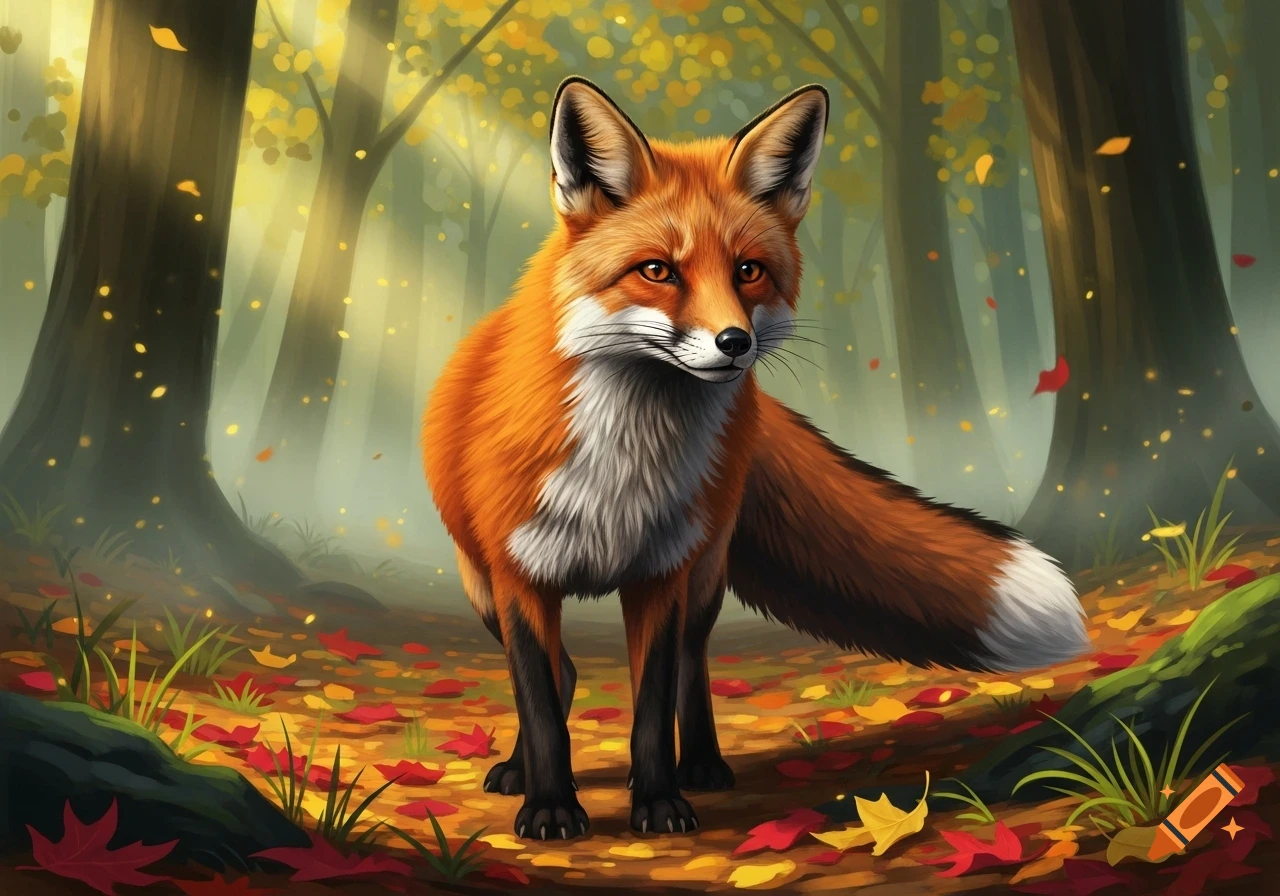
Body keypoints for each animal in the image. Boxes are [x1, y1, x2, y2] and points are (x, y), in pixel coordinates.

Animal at [421, 77, 1089, 841]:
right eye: (657, 271)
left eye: (748, 271)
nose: (734, 343)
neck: (625, 463)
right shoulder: (519, 578)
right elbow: (538, 700)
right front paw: (551, 806)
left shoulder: (660, 574)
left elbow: (652, 705)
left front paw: (658, 801)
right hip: (482, 586)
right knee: (560, 674)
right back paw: (517, 769)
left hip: (705, 570)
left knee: (689, 662)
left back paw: (701, 766)